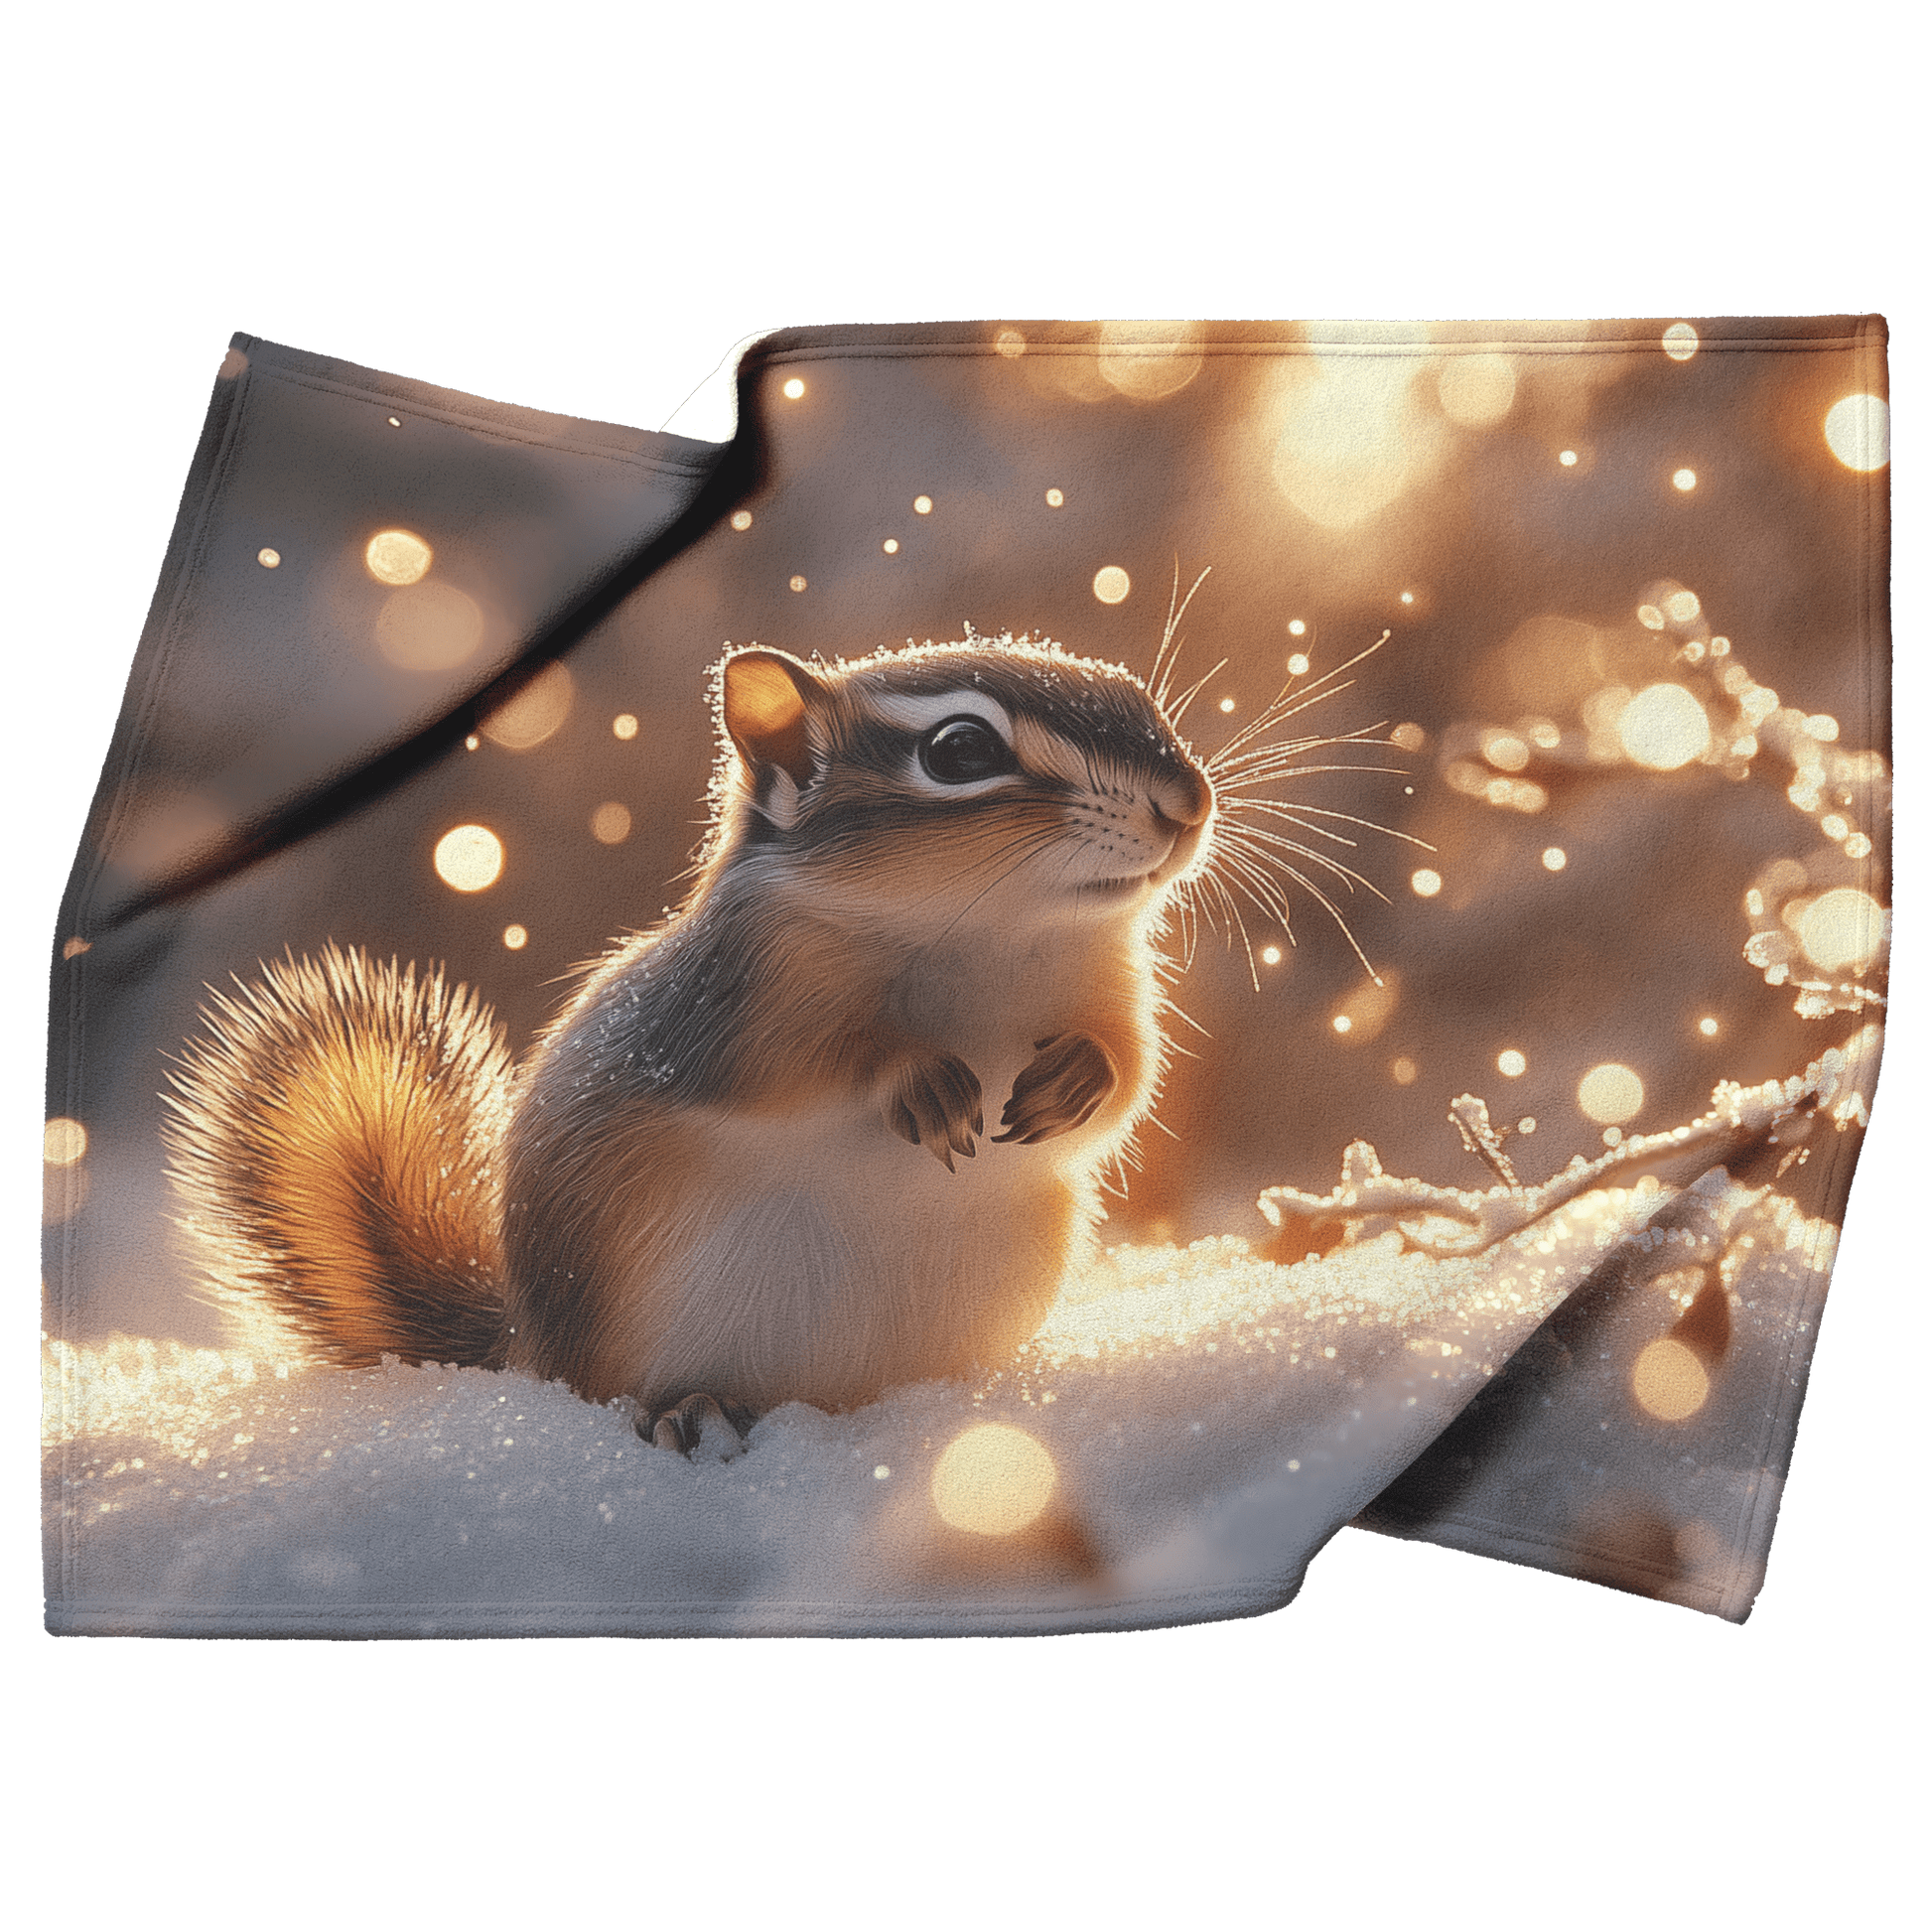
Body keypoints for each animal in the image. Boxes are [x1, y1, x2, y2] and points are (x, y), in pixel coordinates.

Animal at [164, 636, 1216, 1455]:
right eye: (960, 750)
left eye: (1135, 693)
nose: (1189, 800)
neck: (989, 933)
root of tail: (523, 1352)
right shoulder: (731, 1015)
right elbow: (810, 1068)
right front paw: (917, 1078)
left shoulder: (1115, 993)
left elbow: (1132, 1080)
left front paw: (1076, 1078)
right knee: (632, 1397)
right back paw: (694, 1409)